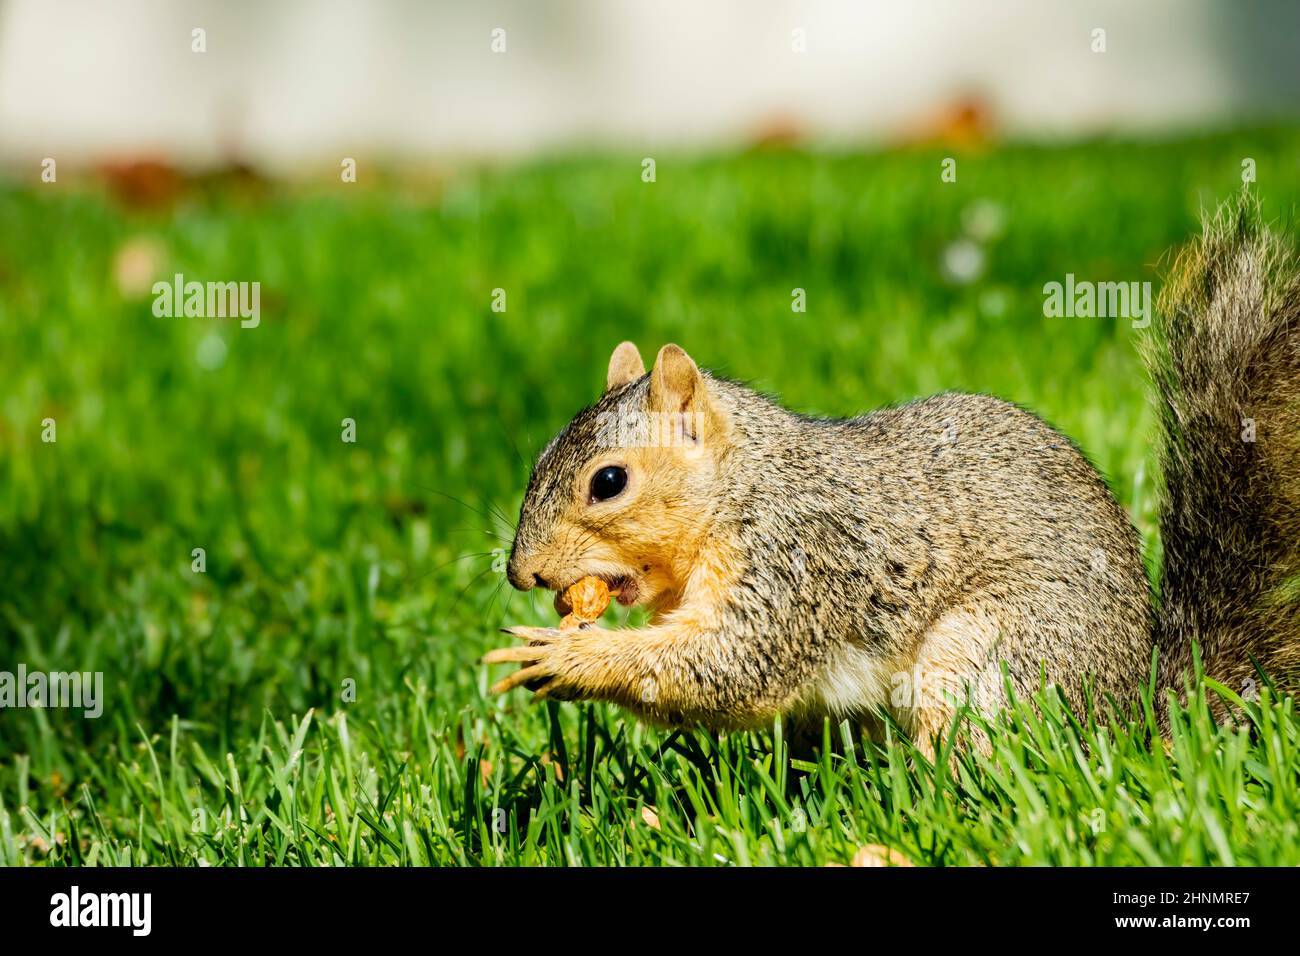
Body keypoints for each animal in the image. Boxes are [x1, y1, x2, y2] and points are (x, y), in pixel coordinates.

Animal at [486, 196, 1300, 751]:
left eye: (609, 482)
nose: (522, 572)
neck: (745, 489)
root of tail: (1131, 719)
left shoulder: (796, 564)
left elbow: (730, 662)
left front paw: (572, 656)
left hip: (996, 651)